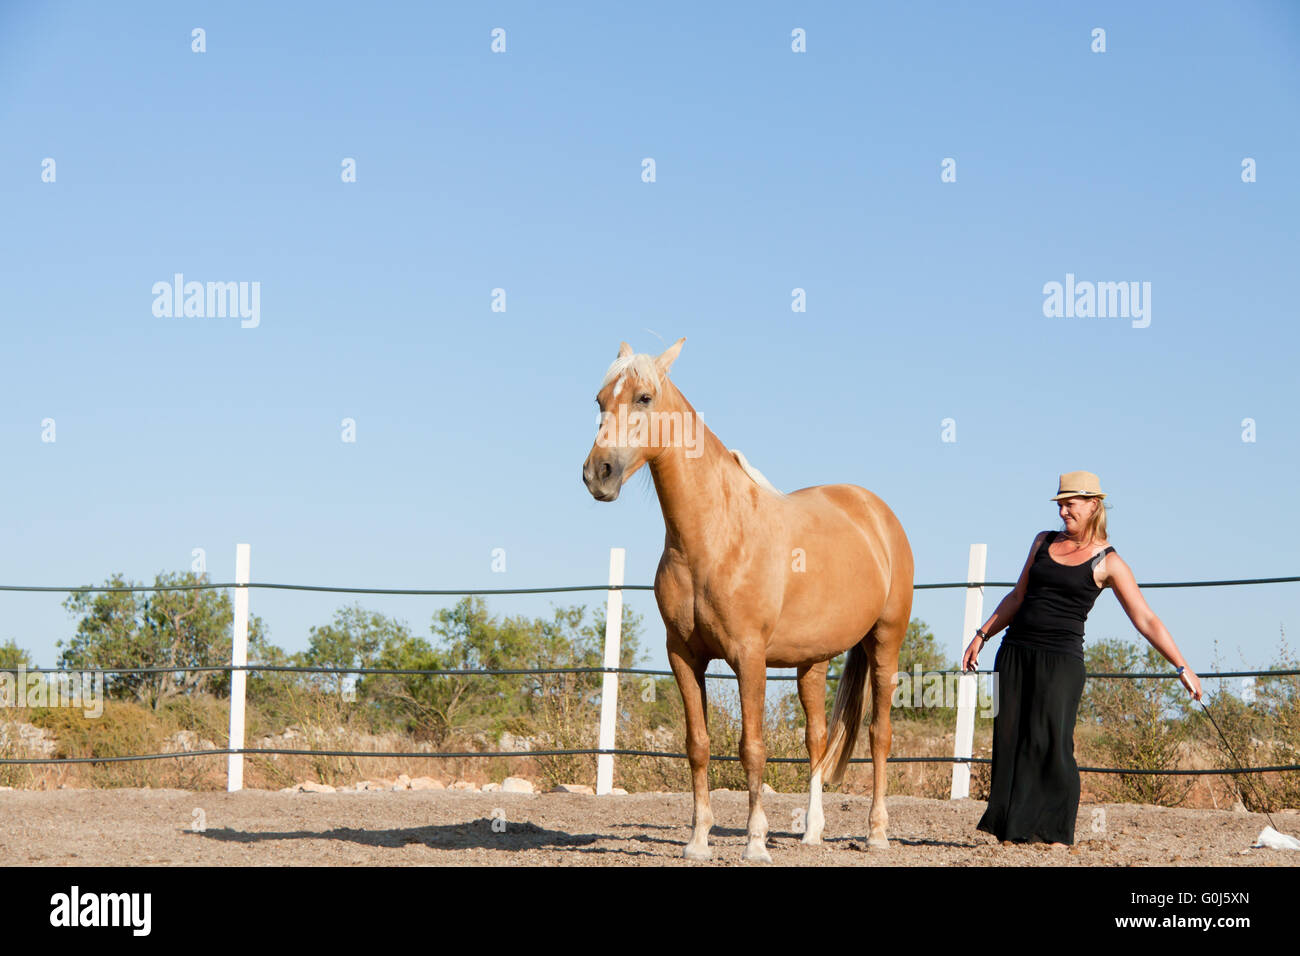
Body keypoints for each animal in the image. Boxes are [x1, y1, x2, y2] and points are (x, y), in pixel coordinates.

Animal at [581, 337, 914, 861]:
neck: (714, 535)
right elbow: (698, 744)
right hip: (812, 662)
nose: (599, 473)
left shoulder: (749, 657)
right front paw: (698, 841)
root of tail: (876, 514)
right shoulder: (684, 656)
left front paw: (755, 843)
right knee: (817, 738)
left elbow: (751, 747)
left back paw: (876, 833)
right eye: (599, 400)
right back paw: (812, 831)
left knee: (880, 735)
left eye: (644, 398)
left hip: (885, 645)